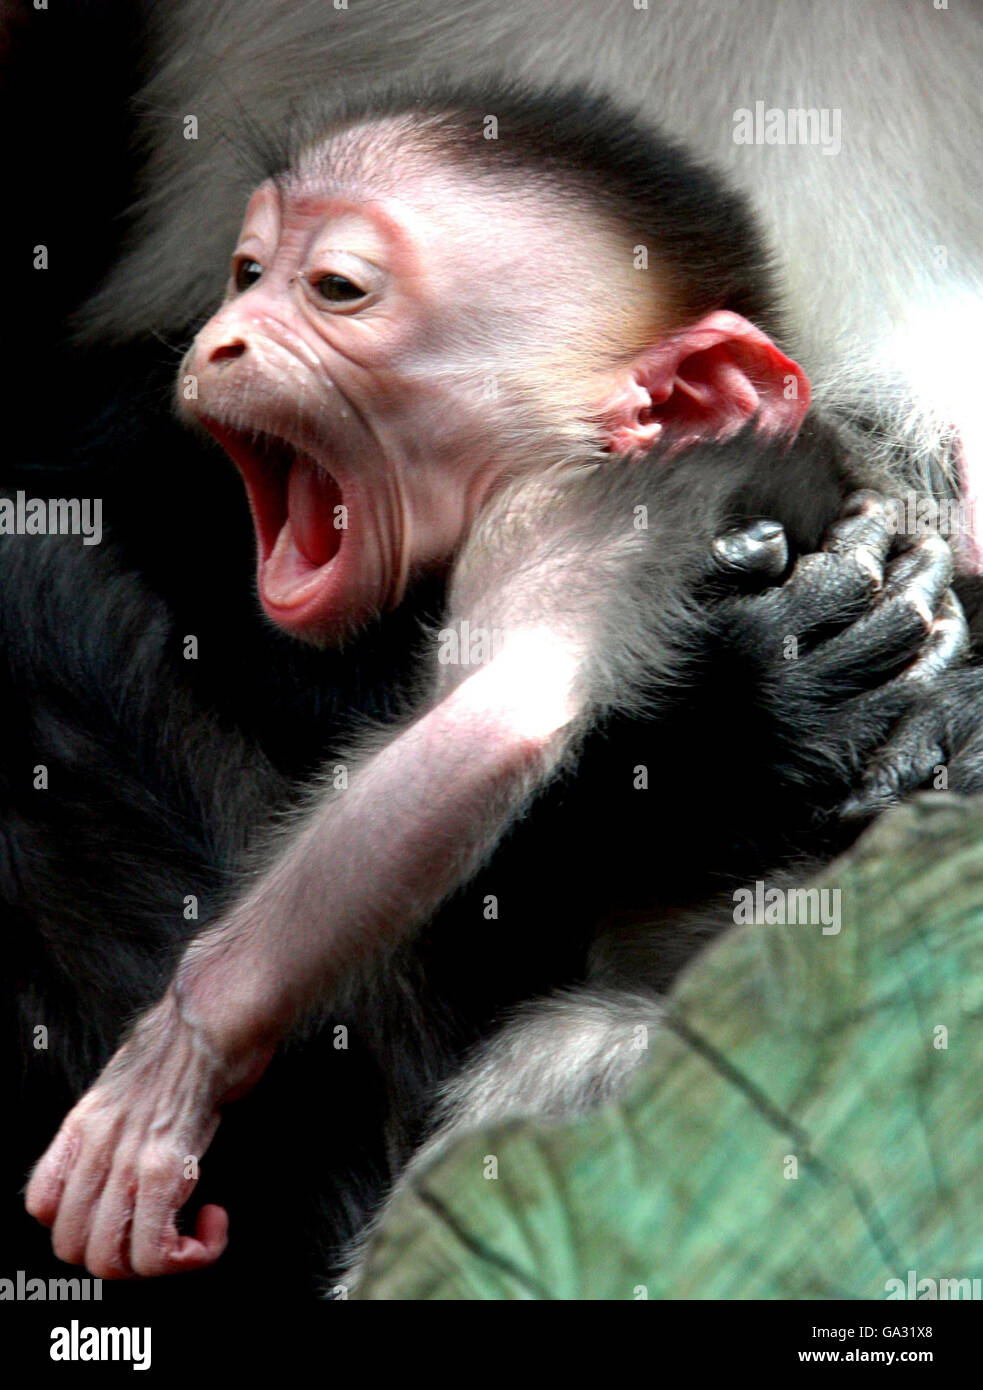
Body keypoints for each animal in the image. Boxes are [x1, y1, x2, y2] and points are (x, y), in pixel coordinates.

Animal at [20, 76, 983, 1290]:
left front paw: (180, 1055)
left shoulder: (554, 514)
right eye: (247, 273)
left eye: (336, 290)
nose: (220, 339)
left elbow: (493, 720)